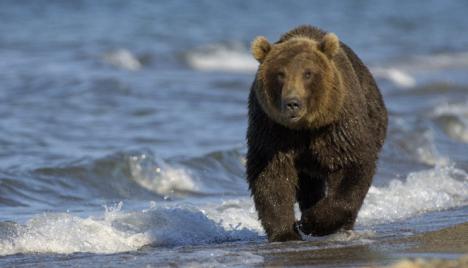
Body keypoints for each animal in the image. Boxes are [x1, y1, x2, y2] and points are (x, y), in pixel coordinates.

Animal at [245, 25, 388, 242]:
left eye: (308, 73)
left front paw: (311, 221)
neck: (306, 127)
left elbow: (352, 165)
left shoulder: (338, 126)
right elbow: (271, 175)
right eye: (280, 73)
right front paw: (286, 233)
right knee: (308, 185)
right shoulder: (272, 130)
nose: (292, 103)